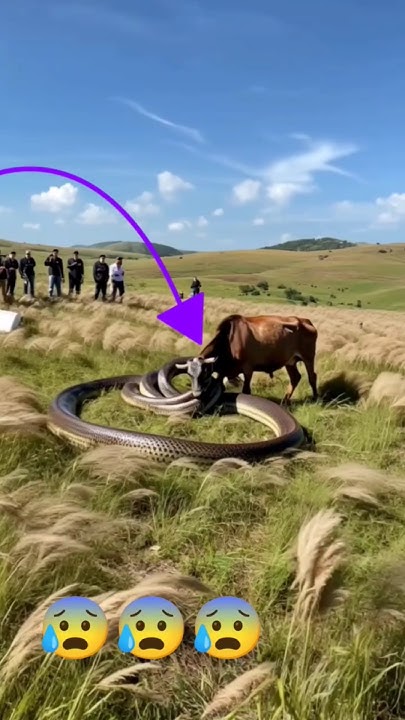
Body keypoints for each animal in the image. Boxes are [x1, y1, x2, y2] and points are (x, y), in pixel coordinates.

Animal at [177, 313, 318, 403]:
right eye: (189, 374)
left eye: (205, 373)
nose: (196, 394)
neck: (229, 342)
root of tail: (305, 321)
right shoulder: (223, 371)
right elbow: (221, 386)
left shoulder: (248, 369)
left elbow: (245, 390)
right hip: (290, 361)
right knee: (295, 378)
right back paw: (285, 400)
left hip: (308, 357)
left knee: (312, 377)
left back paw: (315, 398)